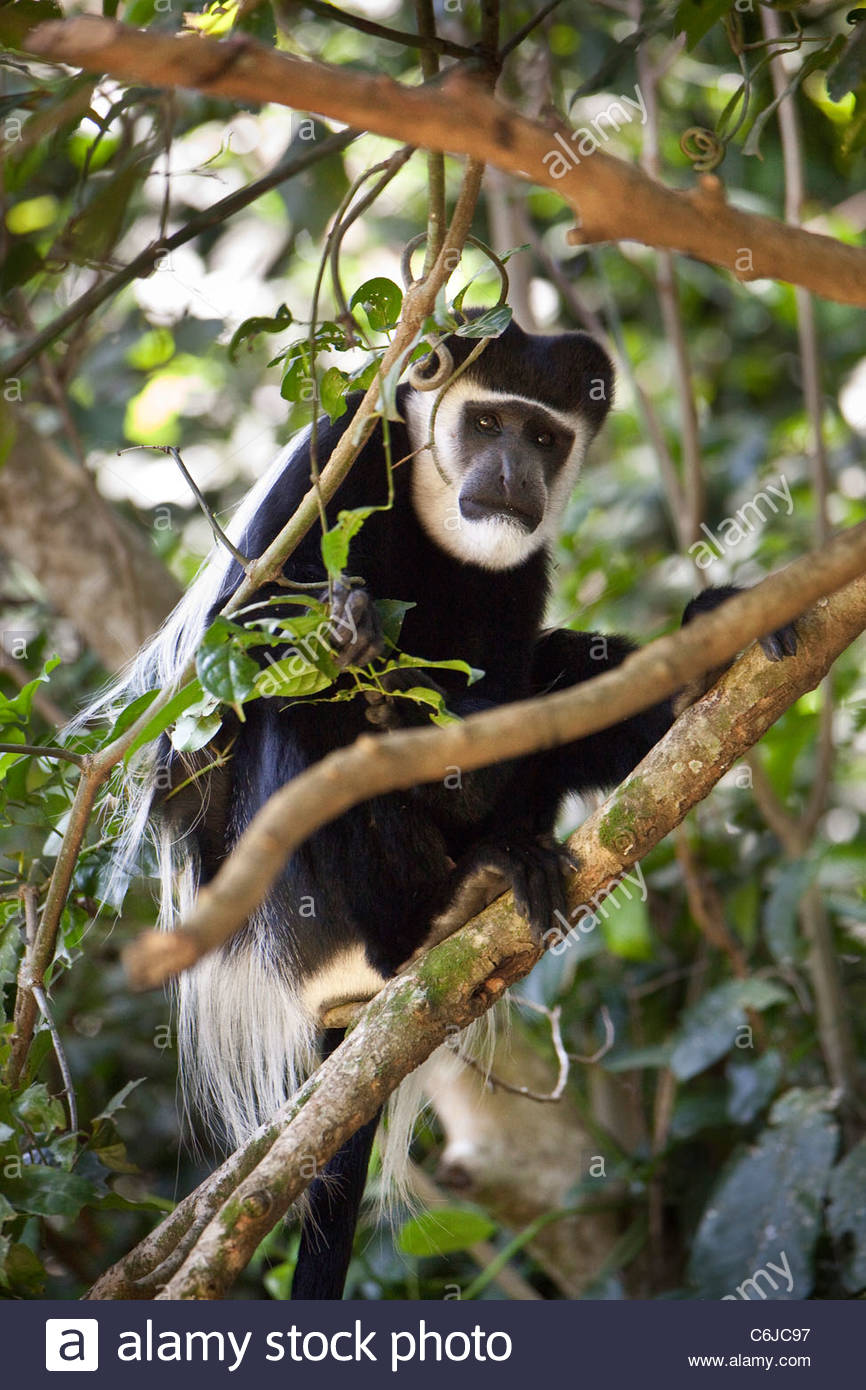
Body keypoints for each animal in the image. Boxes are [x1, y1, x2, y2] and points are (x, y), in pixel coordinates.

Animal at [92, 315, 796, 1299]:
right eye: (489, 422)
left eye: (545, 437)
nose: (510, 472)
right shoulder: (328, 467)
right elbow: (216, 712)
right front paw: (353, 639)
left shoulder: (524, 564)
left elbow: (516, 687)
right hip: (303, 912)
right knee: (301, 724)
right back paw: (435, 903)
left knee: (553, 673)